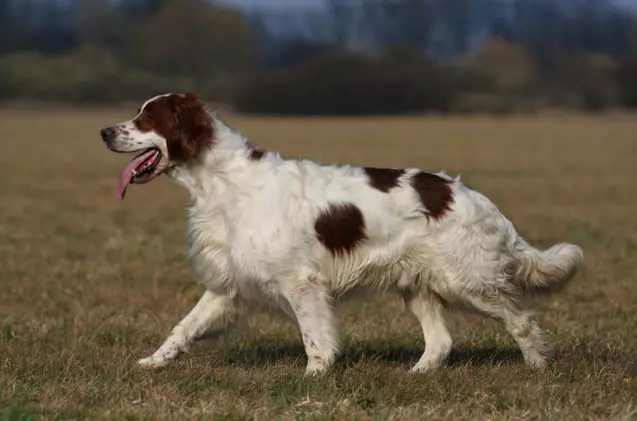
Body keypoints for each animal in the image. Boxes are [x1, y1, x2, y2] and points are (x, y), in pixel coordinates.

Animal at [99, 92, 580, 374]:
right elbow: (183, 328)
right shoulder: (228, 284)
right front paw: (152, 362)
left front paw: (314, 377)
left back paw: (538, 368)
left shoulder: (301, 282)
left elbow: (315, 338)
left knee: (521, 320)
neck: (222, 183)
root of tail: (474, 198)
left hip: (467, 281)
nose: (104, 131)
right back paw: (417, 374)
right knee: (441, 341)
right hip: (419, 286)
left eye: (146, 118)